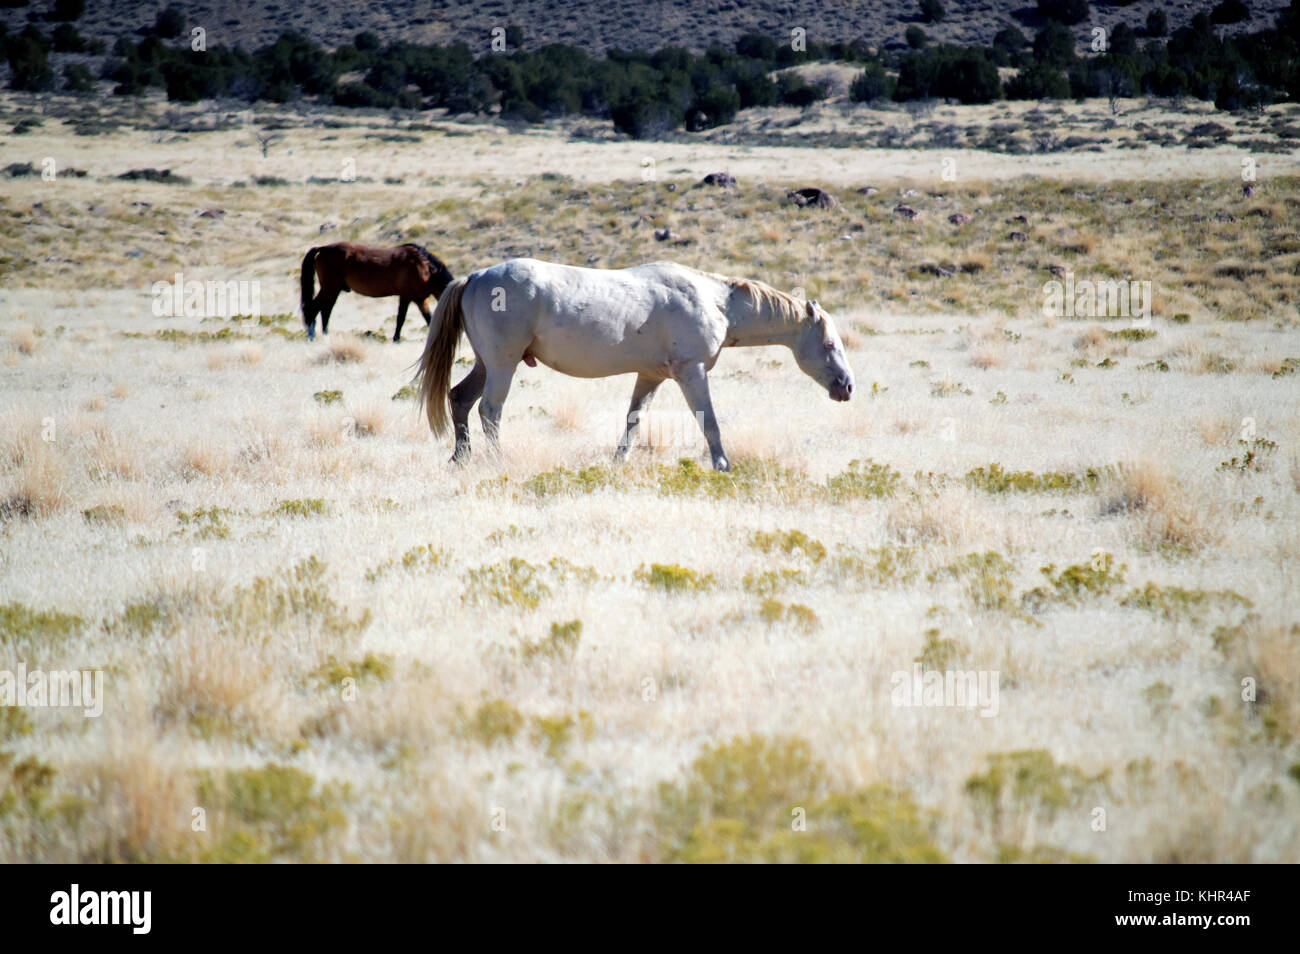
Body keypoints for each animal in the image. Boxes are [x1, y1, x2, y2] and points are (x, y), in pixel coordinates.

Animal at [299, 242, 455, 342]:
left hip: (334, 290)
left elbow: (429, 318)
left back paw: (326, 335)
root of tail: (322, 249)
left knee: (326, 311)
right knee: (313, 309)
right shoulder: (406, 296)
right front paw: (396, 340)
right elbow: (401, 319)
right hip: (329, 288)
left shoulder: (420, 299)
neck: (423, 267)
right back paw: (312, 337)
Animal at [413, 258, 854, 472]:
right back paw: (498, 460)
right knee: (490, 410)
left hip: (486, 364)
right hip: (502, 365)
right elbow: (708, 421)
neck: (713, 300)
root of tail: (476, 276)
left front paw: (617, 463)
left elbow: (633, 421)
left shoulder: (651, 376)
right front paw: (722, 465)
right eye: (829, 343)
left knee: (460, 399)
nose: (847, 386)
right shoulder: (690, 371)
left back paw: (460, 459)